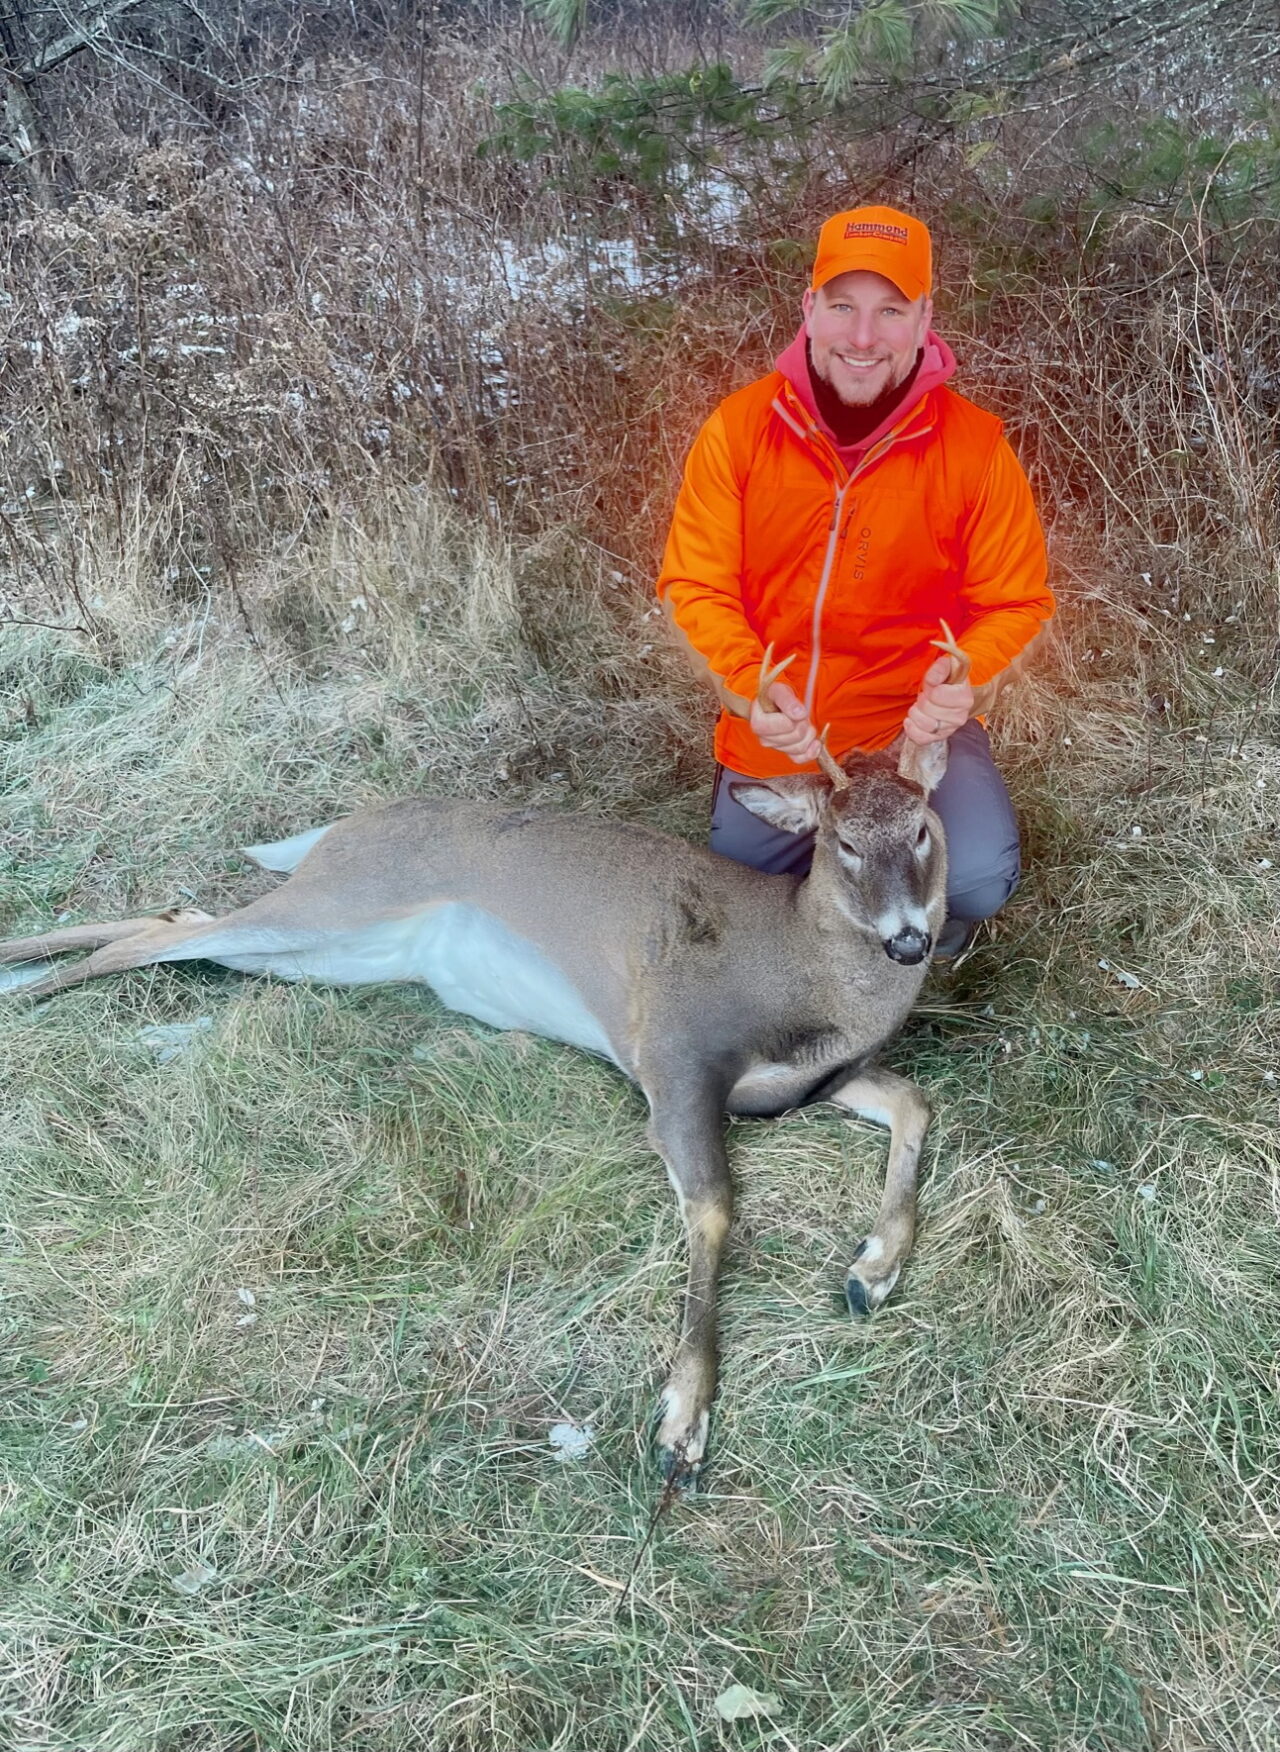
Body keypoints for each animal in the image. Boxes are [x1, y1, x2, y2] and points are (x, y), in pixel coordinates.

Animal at [0, 629, 971, 1484]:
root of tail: (347, 821)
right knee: (167, 932)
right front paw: (682, 1417)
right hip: (344, 898)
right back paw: (30, 985)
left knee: (180, 921)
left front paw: (872, 1270)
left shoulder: (798, 1081)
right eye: (843, 843)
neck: (796, 974)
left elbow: (914, 1100)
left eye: (924, 827)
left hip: (345, 951)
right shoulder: (674, 1052)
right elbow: (716, 1206)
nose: (908, 940)